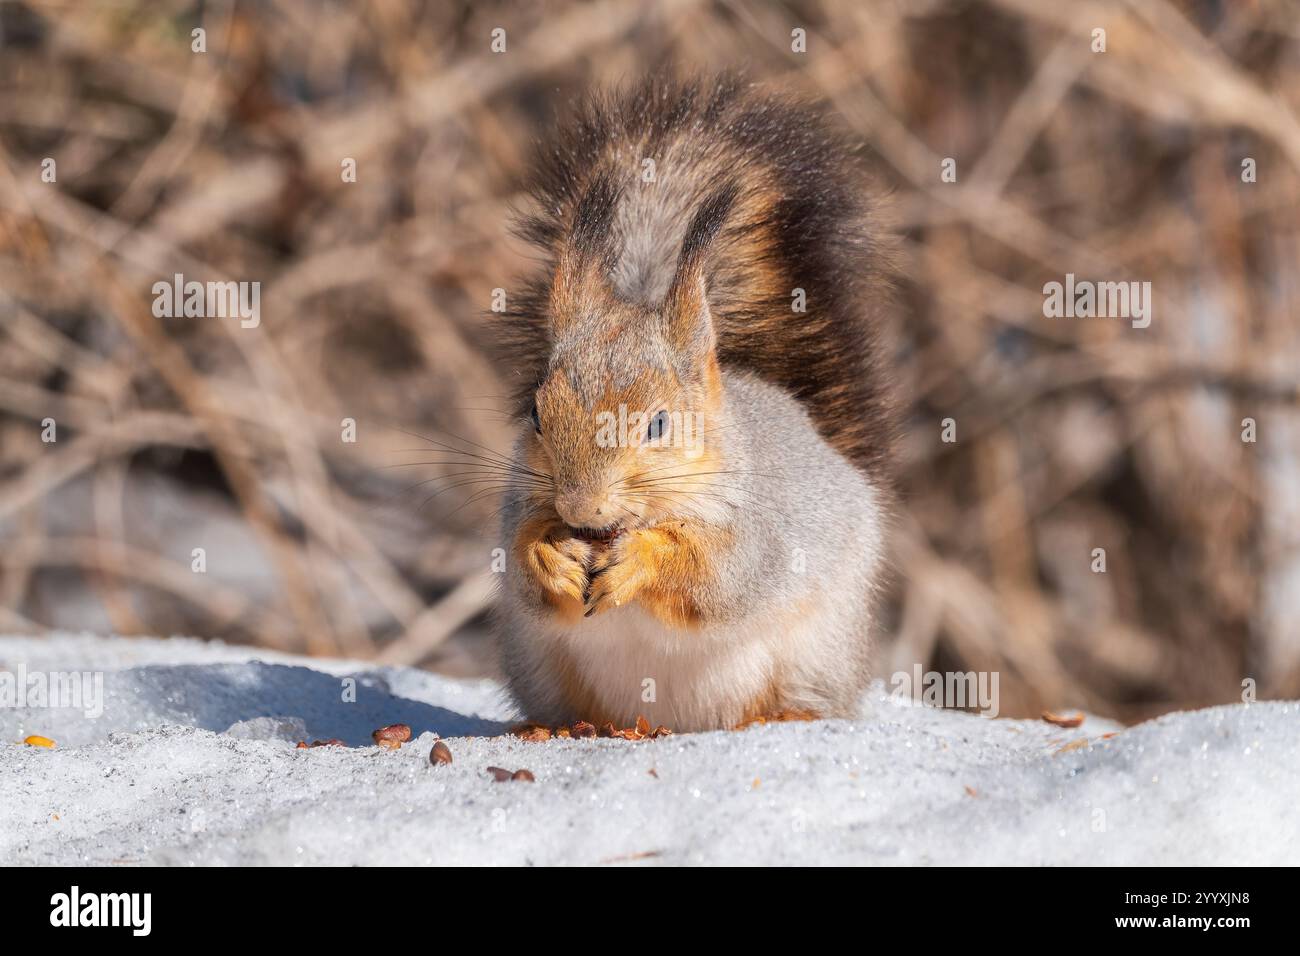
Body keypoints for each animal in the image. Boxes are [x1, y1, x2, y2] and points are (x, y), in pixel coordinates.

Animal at [494, 76, 894, 733]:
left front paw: (641, 562)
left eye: (660, 423)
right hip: (541, 668)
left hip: (821, 649)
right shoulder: (518, 507)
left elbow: (713, 575)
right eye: (534, 413)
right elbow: (522, 564)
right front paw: (551, 554)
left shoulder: (760, 529)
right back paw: (551, 725)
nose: (580, 507)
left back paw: (785, 717)